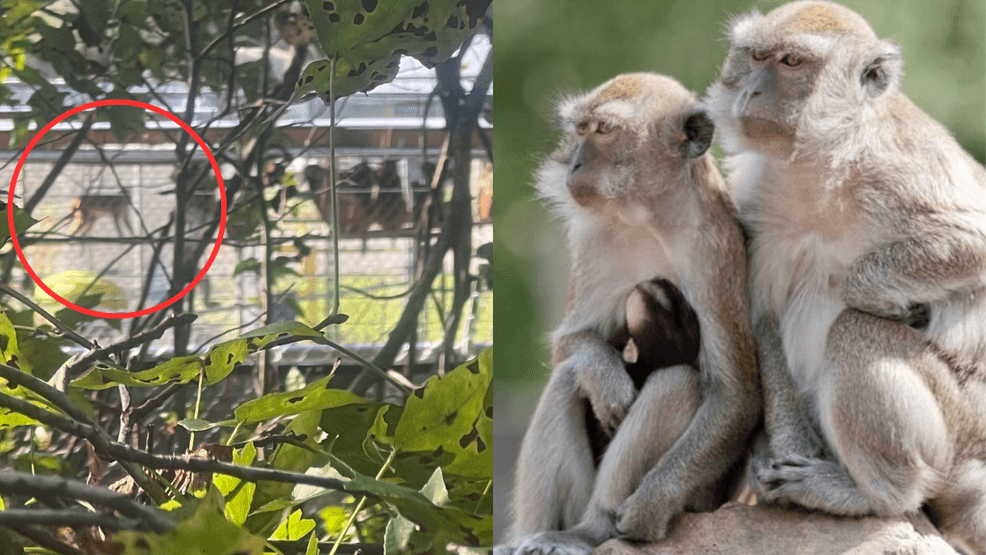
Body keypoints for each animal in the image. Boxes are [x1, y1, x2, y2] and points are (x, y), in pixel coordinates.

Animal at [497, 73, 760, 555]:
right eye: (580, 129)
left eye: (604, 130)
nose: (573, 163)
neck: (648, 217)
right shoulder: (593, 240)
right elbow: (570, 345)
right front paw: (606, 375)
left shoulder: (714, 251)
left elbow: (736, 395)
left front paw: (647, 508)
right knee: (566, 379)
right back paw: (533, 534)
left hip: (701, 500)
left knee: (678, 383)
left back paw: (593, 531)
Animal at [704, 2, 986, 552]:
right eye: (755, 57)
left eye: (792, 62)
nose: (752, 91)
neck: (818, 163)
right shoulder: (757, 204)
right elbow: (764, 317)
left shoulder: (899, 167)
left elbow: (973, 242)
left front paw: (881, 297)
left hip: (961, 426)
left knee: (855, 330)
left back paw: (876, 496)